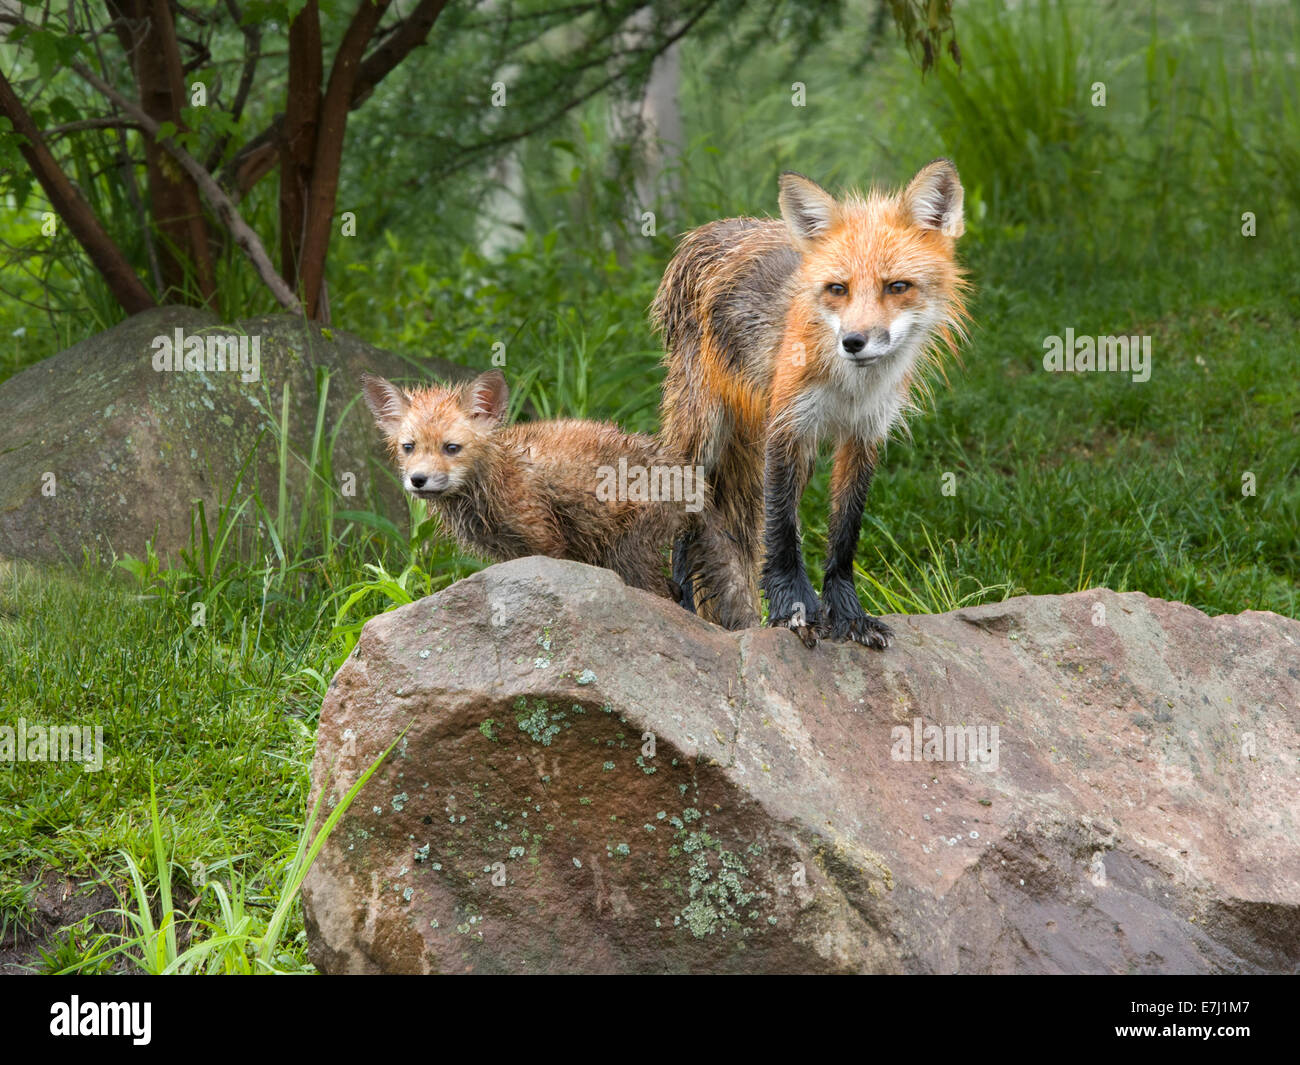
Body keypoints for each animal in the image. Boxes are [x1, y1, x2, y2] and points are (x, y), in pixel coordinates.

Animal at [362, 370, 693, 598]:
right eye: (409, 447)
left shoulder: (548, 543)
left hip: (627, 551)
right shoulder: (511, 554)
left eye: (451, 448)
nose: (418, 480)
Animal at [652, 159, 968, 647]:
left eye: (897, 286)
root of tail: (707, 229)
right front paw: (793, 609)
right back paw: (683, 606)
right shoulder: (788, 426)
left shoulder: (864, 434)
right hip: (703, 435)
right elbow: (782, 529)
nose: (853, 342)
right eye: (838, 289)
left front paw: (848, 614)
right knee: (684, 525)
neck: (850, 386)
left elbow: (844, 533)